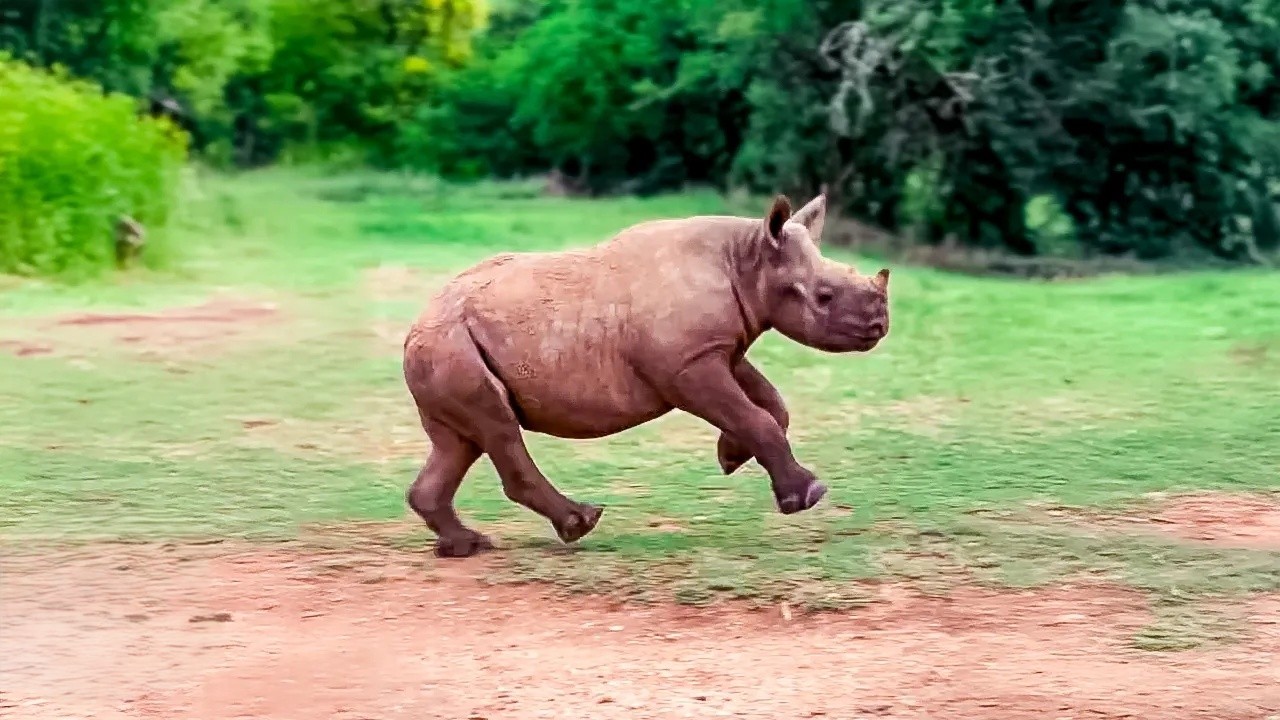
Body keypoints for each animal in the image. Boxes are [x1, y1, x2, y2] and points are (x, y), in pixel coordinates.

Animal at [402, 193, 891, 557]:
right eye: (824, 296)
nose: (880, 327)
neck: (747, 257)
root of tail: (414, 326)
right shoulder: (687, 366)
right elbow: (757, 417)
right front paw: (808, 496)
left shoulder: (718, 349)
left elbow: (771, 404)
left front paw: (730, 456)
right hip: (450, 346)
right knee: (497, 427)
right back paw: (581, 523)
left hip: (446, 349)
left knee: (461, 440)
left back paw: (468, 546)